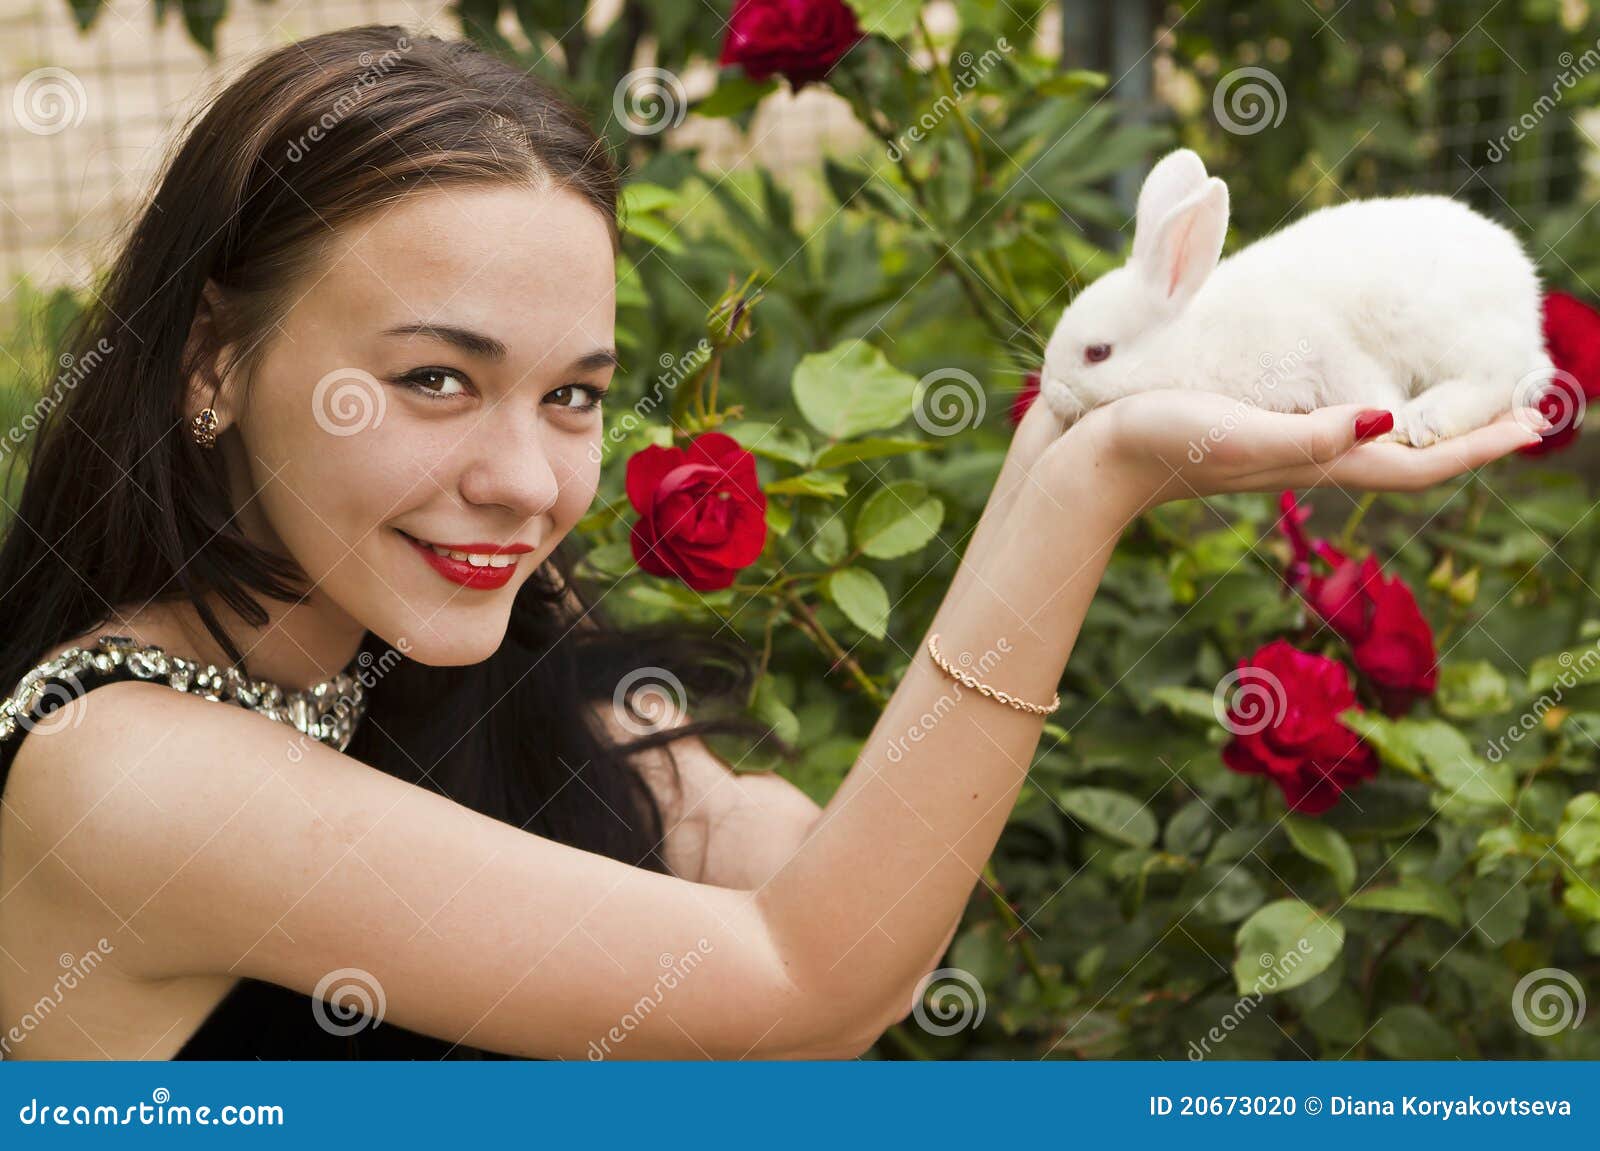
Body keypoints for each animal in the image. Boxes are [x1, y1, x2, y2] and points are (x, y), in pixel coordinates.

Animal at [1038, 148, 1553, 447]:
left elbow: (1366, 385)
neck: (1191, 338)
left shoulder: (1319, 349)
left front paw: (1388, 417)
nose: (1049, 393)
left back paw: (1425, 419)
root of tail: (1523, 288)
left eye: (1098, 353)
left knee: (1500, 373)